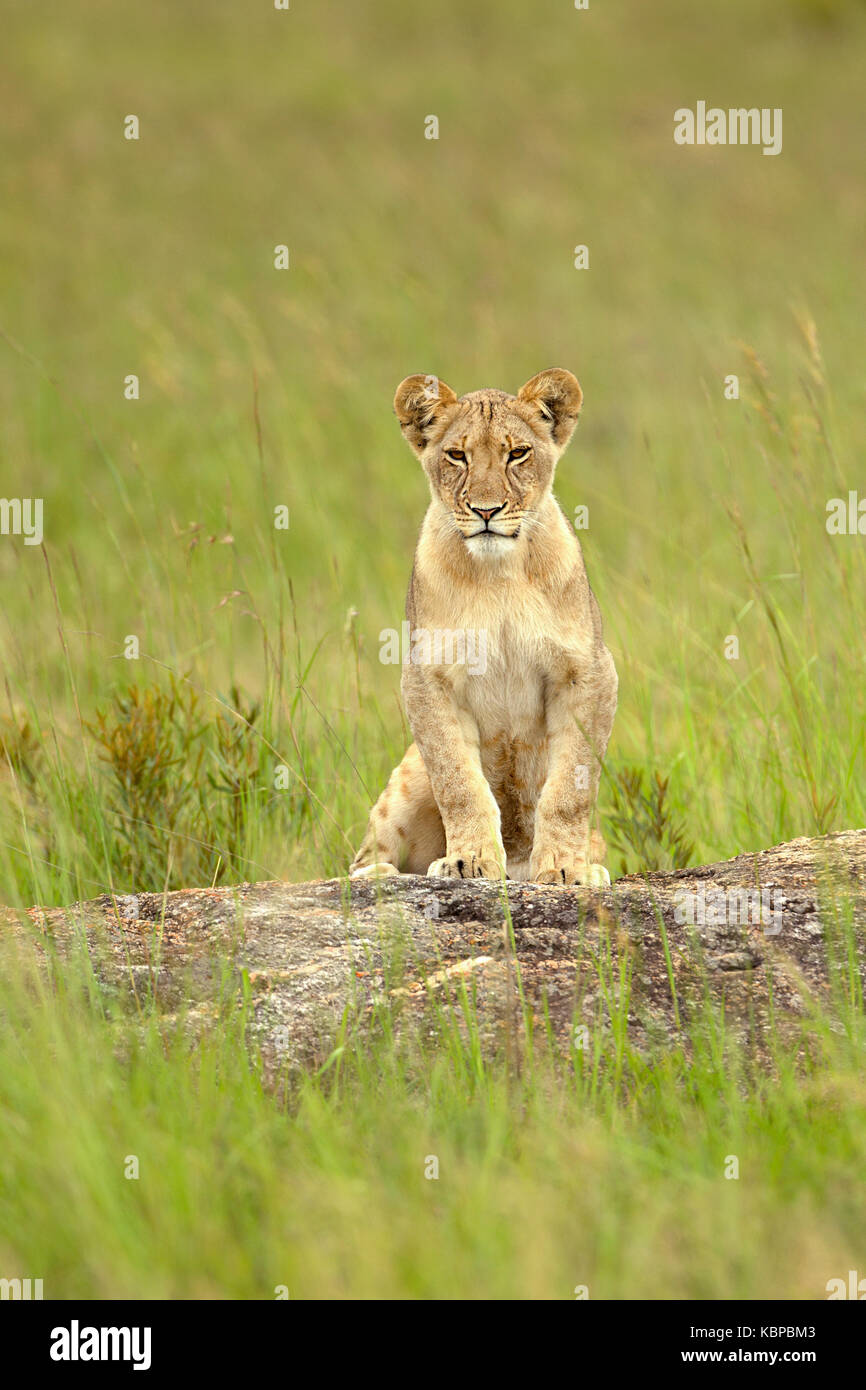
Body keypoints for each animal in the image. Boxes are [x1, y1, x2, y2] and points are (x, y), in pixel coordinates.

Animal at [350, 368, 617, 886]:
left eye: (518, 453)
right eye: (458, 455)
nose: (486, 510)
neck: (499, 576)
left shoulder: (589, 673)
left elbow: (570, 789)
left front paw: (566, 869)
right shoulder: (427, 677)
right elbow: (458, 782)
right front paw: (468, 861)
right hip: (407, 777)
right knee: (359, 857)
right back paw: (377, 877)